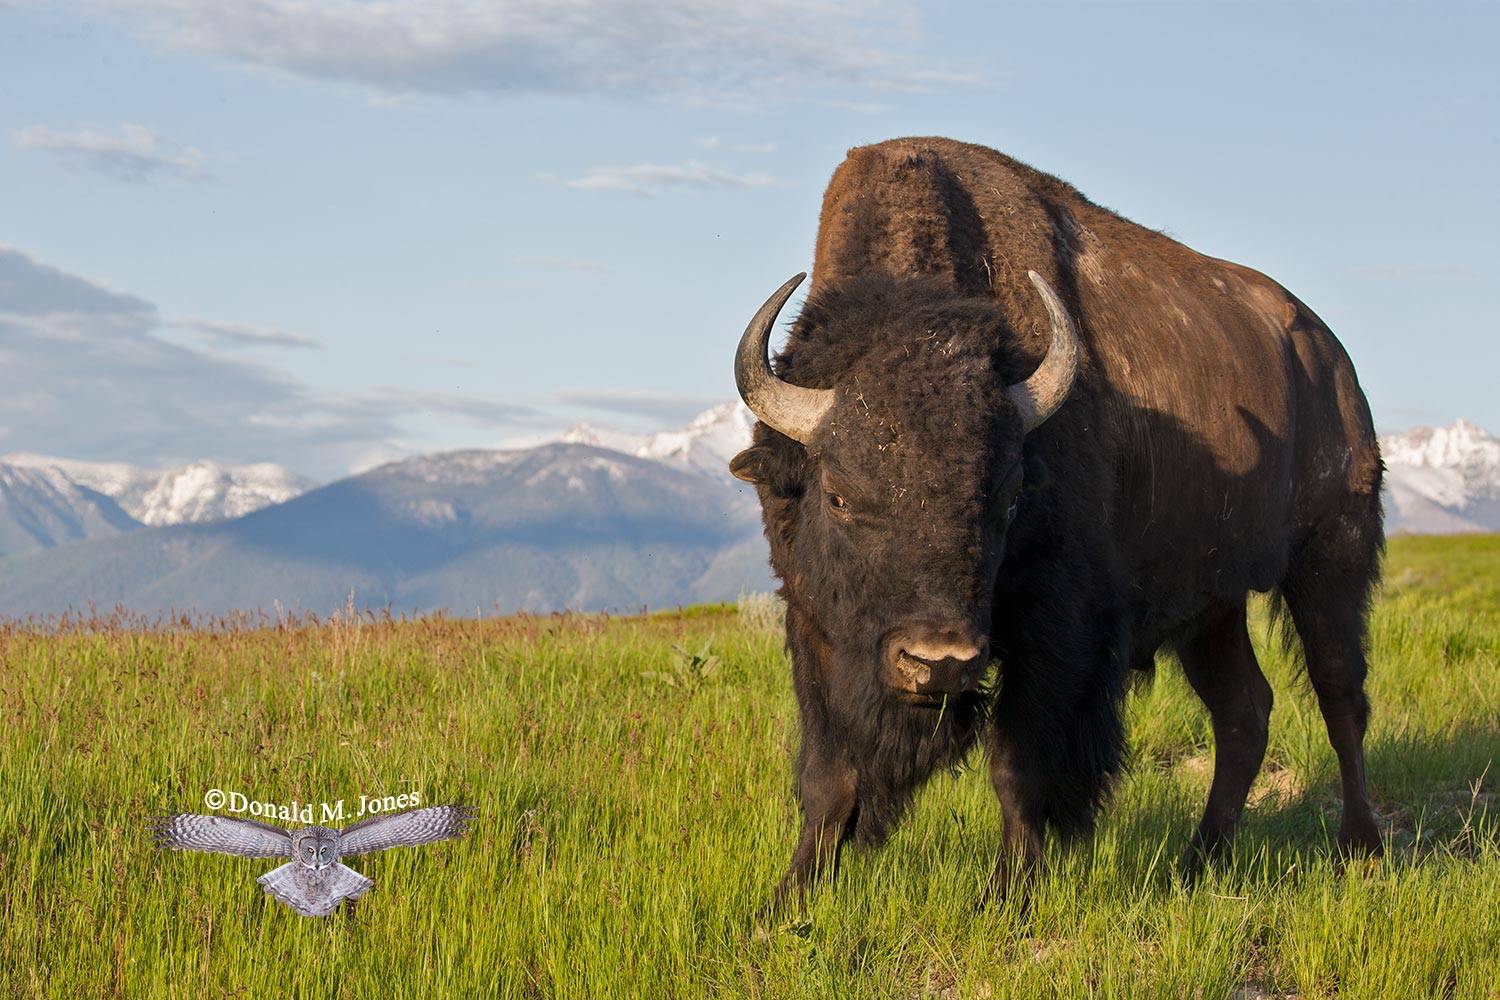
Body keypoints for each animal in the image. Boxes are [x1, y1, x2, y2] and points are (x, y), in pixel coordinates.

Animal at [730, 137, 1383, 910]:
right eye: (837, 495)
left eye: (1010, 495)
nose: (938, 662)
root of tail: (1331, 358)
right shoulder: (818, 626)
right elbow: (832, 777)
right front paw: (786, 901)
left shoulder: (1057, 628)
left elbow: (1019, 764)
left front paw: (1004, 895)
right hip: (1212, 606)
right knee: (1244, 711)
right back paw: (1199, 862)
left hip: (1331, 559)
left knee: (1341, 699)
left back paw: (1361, 851)